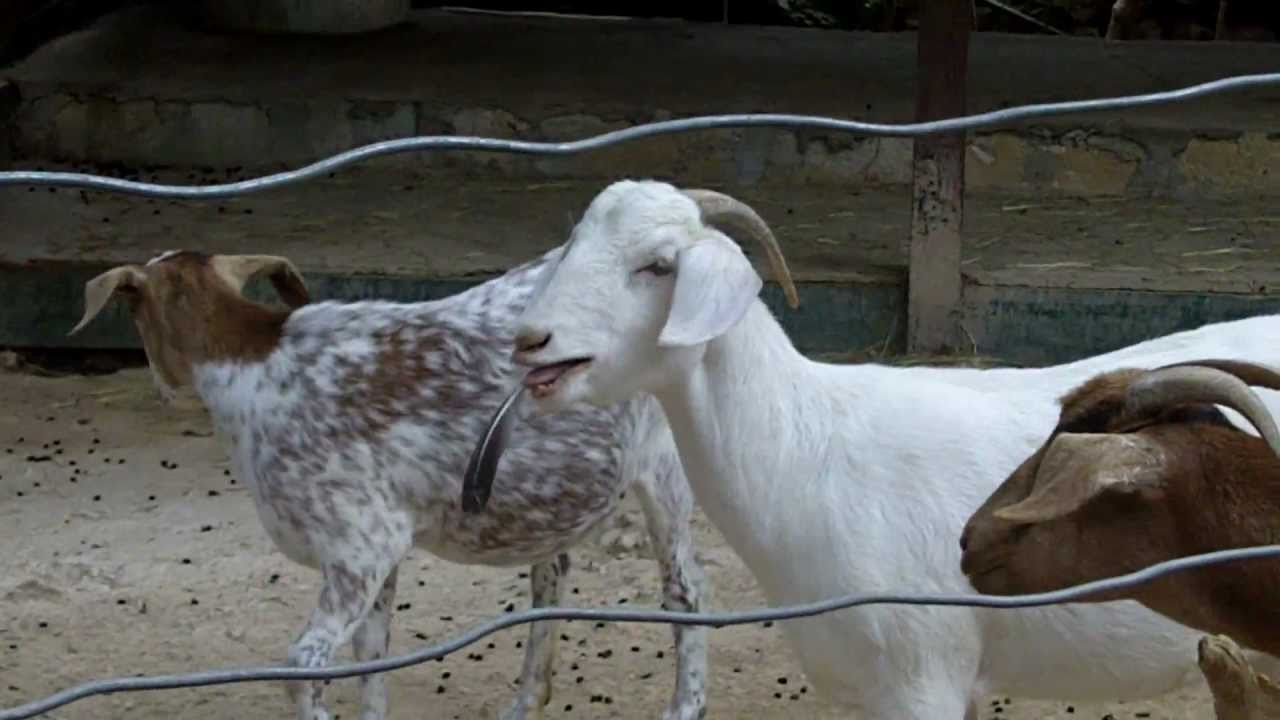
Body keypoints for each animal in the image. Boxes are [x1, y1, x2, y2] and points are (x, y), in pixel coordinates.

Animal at [68, 249, 710, 720]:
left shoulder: (359, 543)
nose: (159, 390)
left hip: (667, 460)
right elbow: (368, 657)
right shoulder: (375, 558)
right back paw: (529, 698)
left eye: (136, 313)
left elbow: (303, 667)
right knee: (551, 581)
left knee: (685, 591)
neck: (253, 359)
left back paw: (686, 705)